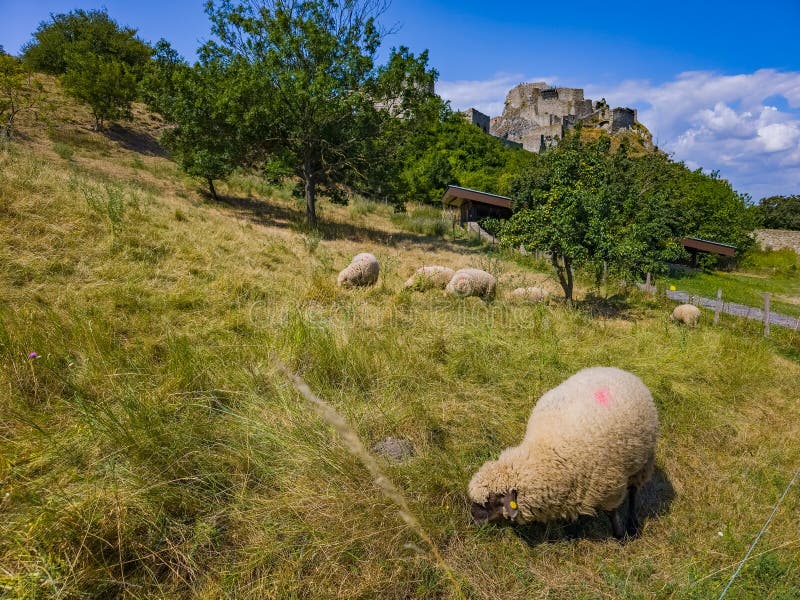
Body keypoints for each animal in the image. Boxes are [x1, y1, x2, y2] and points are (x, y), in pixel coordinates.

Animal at [468, 366, 660, 540]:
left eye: (491, 501)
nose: (474, 519)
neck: (547, 451)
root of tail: (617, 370)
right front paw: (572, 533)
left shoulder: (610, 489)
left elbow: (612, 513)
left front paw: (620, 535)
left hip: (643, 462)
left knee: (633, 492)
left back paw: (632, 524)